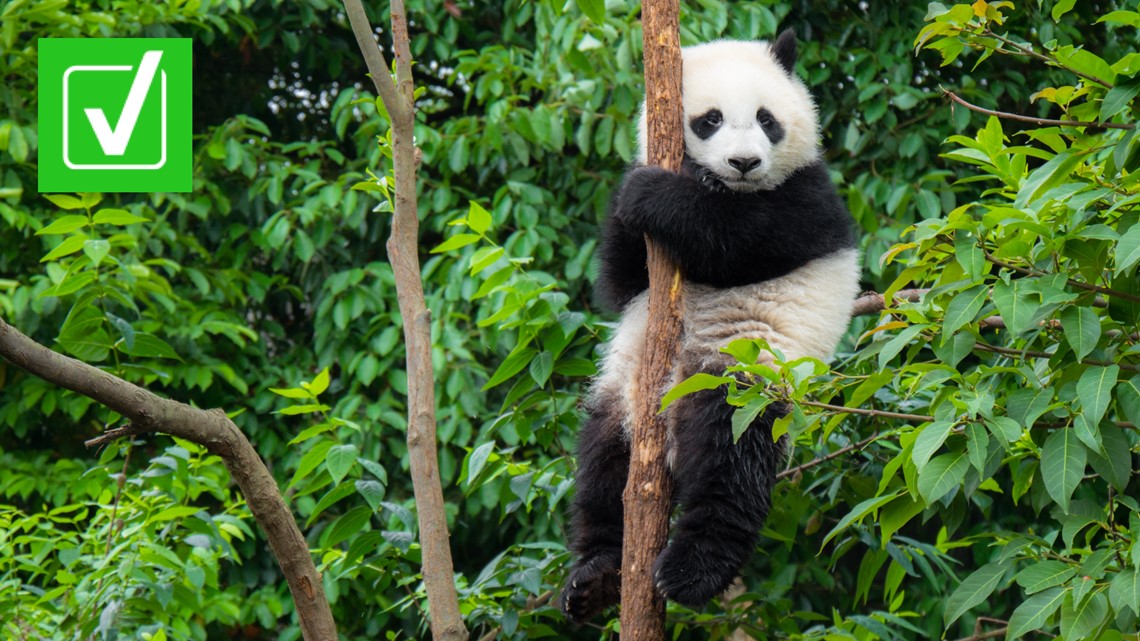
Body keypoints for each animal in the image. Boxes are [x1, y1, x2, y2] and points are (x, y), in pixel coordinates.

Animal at [560, 30, 861, 623]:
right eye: (710, 120)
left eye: (767, 119)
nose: (743, 162)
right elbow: (619, 282)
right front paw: (636, 190)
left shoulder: (809, 199)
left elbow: (738, 241)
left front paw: (652, 195)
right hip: (623, 393)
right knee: (603, 464)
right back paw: (596, 576)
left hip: (744, 373)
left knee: (731, 458)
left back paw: (691, 573)